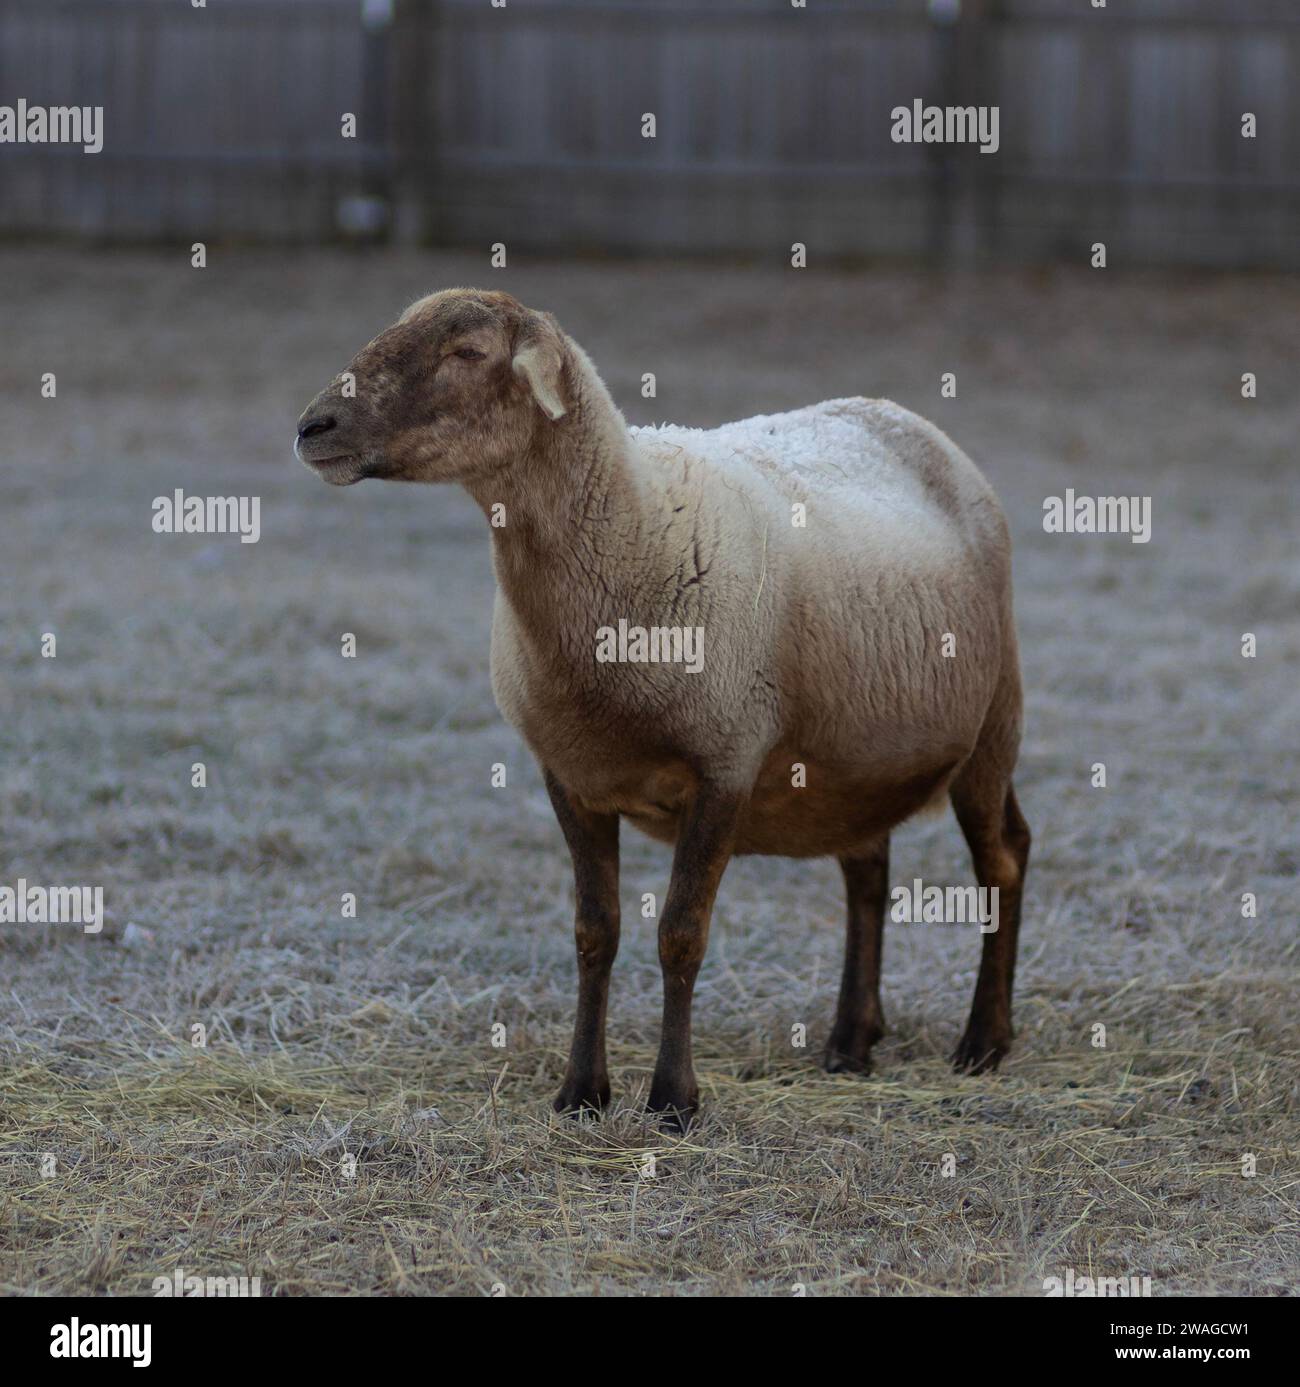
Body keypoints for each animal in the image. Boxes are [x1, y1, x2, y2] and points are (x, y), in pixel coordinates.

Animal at [295, 288, 1031, 1128]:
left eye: (468, 352)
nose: (312, 427)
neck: (636, 525)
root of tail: (904, 415)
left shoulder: (725, 764)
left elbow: (681, 934)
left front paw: (673, 1098)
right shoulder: (570, 774)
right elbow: (595, 932)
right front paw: (582, 1091)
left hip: (992, 718)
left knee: (1003, 858)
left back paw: (984, 1041)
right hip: (848, 753)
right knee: (868, 876)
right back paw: (851, 1040)